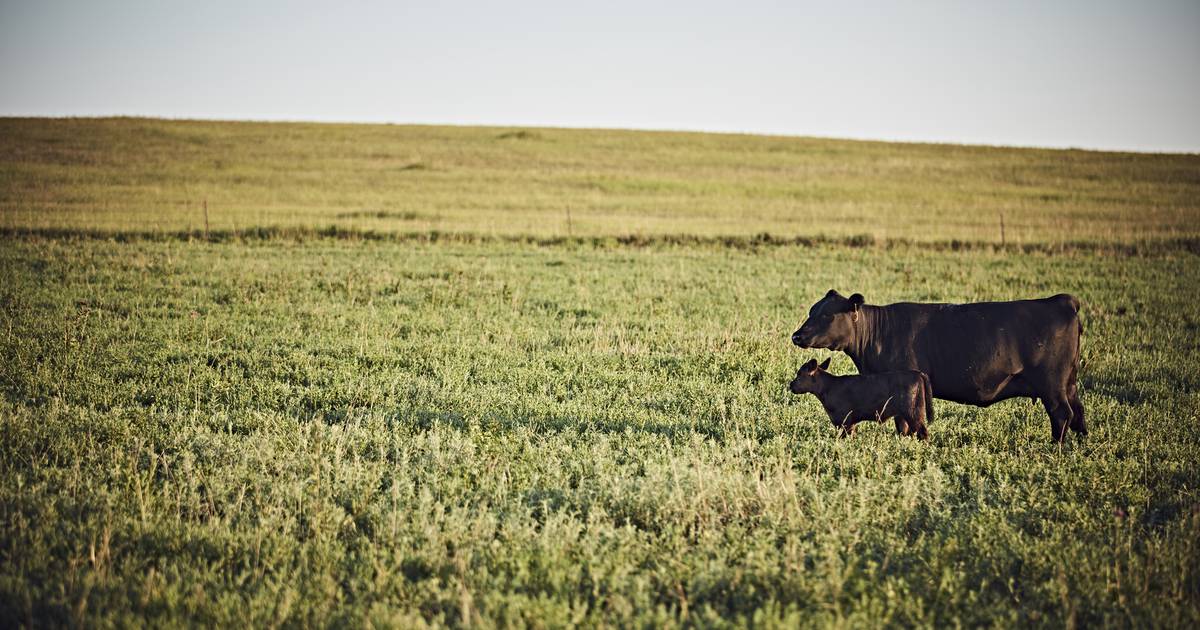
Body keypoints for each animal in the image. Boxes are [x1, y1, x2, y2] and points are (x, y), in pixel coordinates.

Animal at [789, 357, 933, 439]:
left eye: (799, 374)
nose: (791, 385)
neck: (829, 387)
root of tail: (918, 373)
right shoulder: (850, 423)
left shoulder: (845, 421)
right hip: (904, 416)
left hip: (913, 413)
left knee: (922, 432)